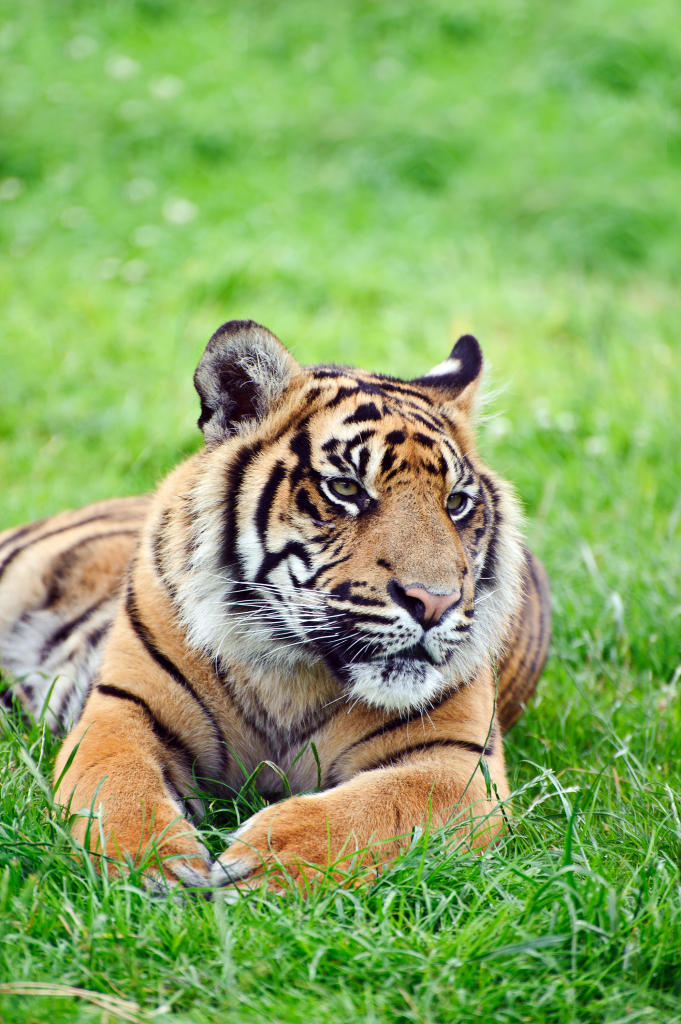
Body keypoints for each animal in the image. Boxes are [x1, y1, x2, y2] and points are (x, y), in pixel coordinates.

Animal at [0, 319, 550, 891]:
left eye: (456, 503)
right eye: (346, 488)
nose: (435, 602)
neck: (291, 671)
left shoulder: (457, 762)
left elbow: (373, 809)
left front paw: (262, 866)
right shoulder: (123, 709)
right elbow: (116, 785)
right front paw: (154, 867)